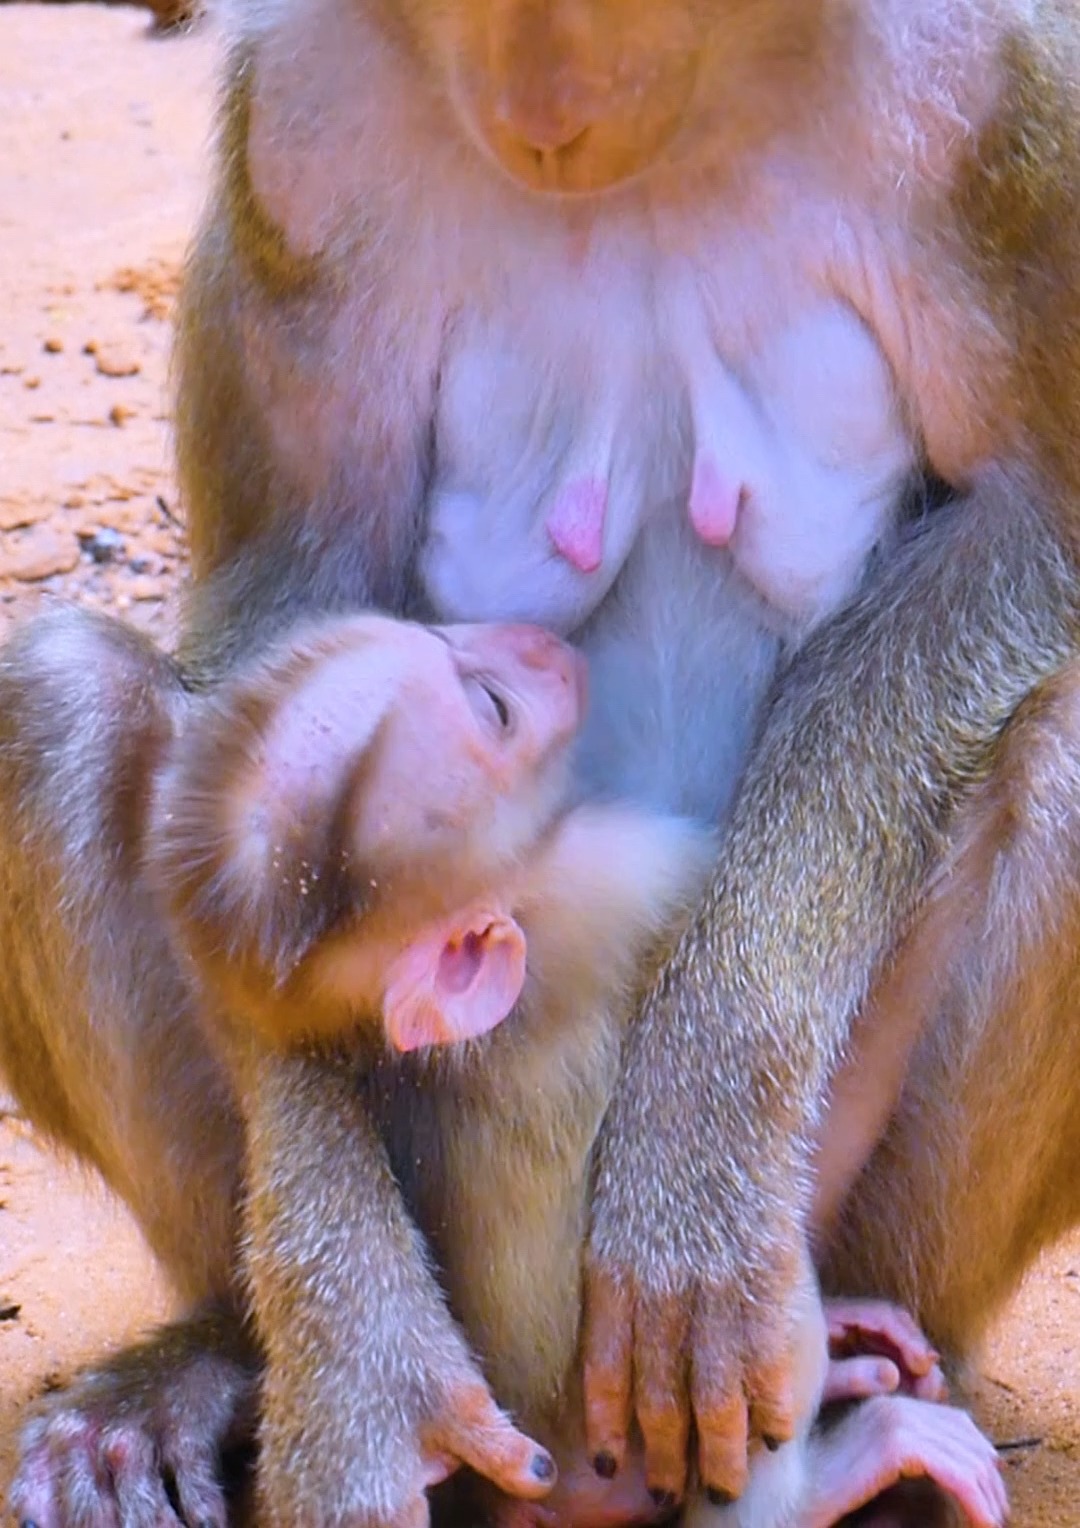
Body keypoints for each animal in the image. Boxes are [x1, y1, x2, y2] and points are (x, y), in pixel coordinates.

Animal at [4, 0, 1080, 1522]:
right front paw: (355, 1353)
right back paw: (215, 1359)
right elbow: (298, 586)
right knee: (57, 696)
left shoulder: (997, 92)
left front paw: (699, 1139)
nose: (544, 113)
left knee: (1067, 754)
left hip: (838, 1229)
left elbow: (1027, 505)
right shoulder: (295, 130)